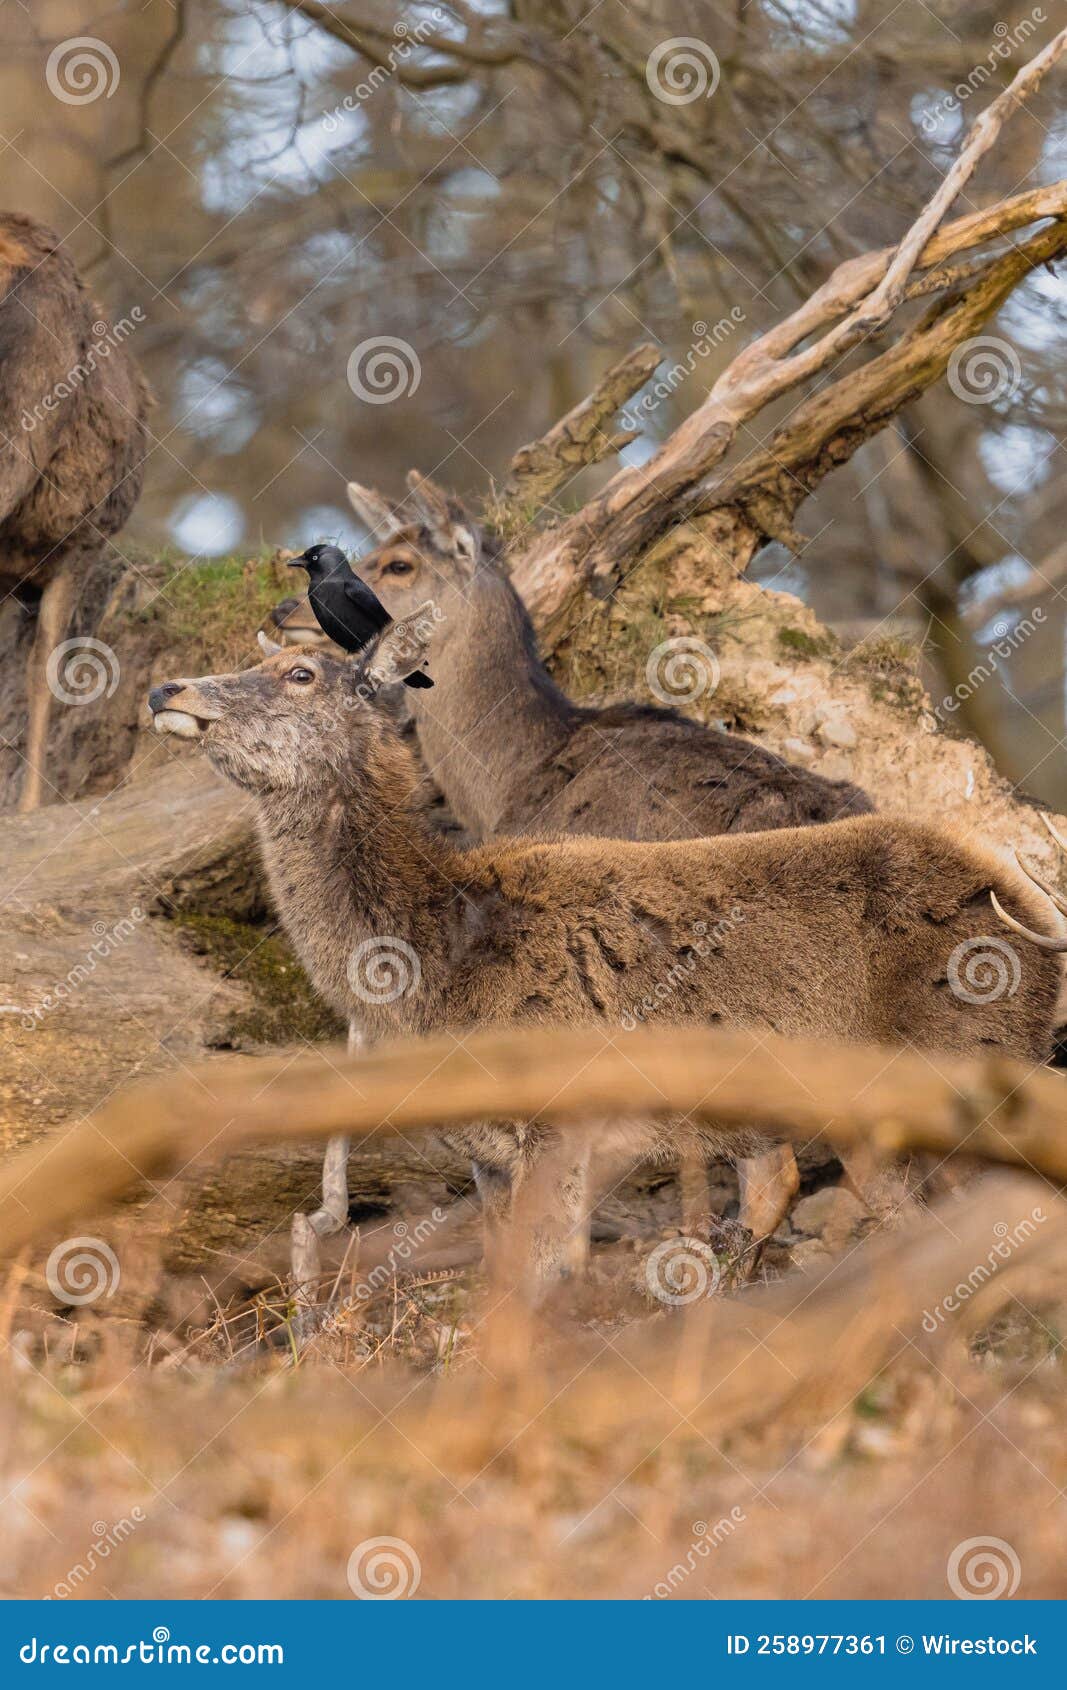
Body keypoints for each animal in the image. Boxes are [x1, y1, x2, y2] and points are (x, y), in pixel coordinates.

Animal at [147, 624, 1063, 1292]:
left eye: (300, 671)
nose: (166, 689)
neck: (435, 956)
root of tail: (1026, 907)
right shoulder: (485, 1149)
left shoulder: (560, 1114)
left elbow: (548, 1274)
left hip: (951, 1063)